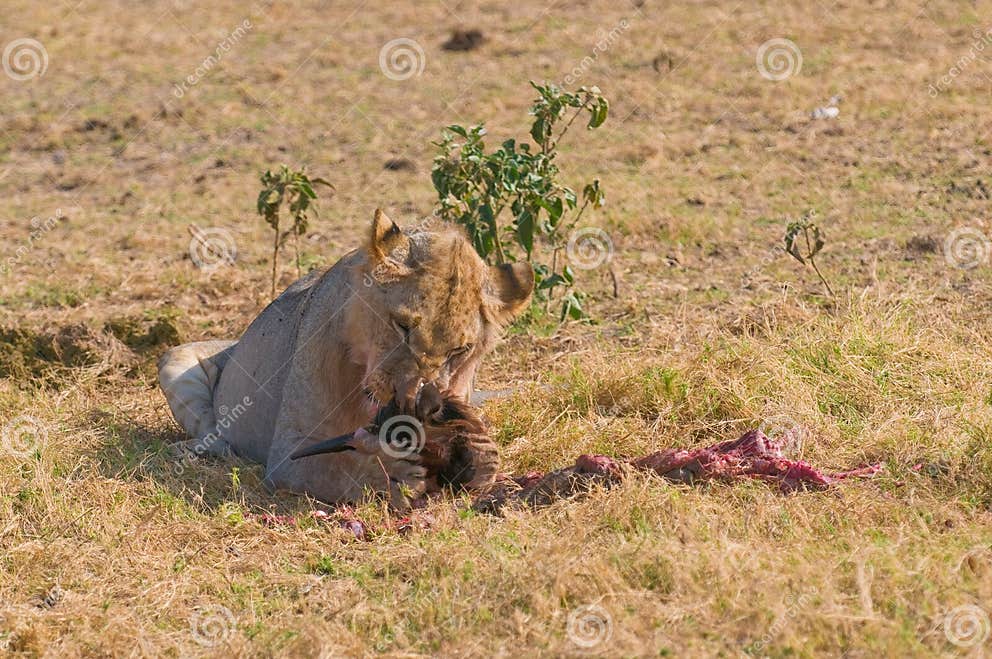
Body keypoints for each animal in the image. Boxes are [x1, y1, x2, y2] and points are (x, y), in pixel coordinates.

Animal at [157, 209, 532, 508]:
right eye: (402, 326)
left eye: (460, 350)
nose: (418, 402)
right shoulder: (287, 453)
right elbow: (338, 470)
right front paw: (392, 472)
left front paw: (478, 460)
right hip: (174, 359)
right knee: (213, 435)